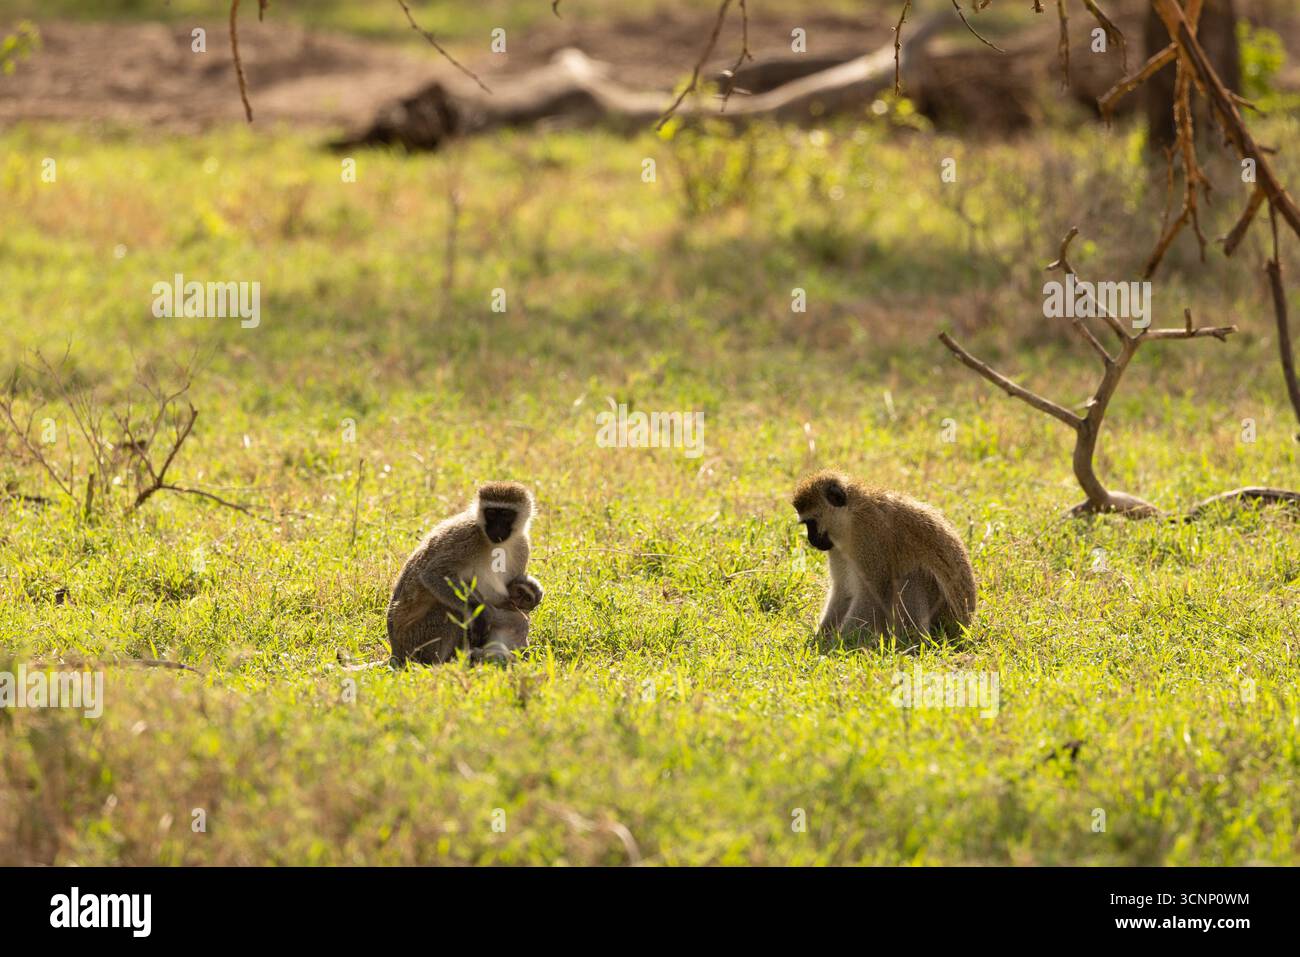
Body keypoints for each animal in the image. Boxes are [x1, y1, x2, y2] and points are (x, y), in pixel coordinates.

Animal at [386, 481, 543, 665]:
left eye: (506, 514)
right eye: (491, 513)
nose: (496, 529)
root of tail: (397, 651)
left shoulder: (522, 545)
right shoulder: (465, 536)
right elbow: (433, 574)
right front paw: (482, 614)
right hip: (416, 640)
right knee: (450, 609)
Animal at [791, 470, 976, 642]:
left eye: (811, 523)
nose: (811, 540)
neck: (850, 518)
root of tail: (964, 625)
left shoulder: (869, 536)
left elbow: (872, 594)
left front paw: (837, 644)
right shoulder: (838, 549)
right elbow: (843, 591)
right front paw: (820, 640)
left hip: (944, 617)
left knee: (912, 577)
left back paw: (908, 641)